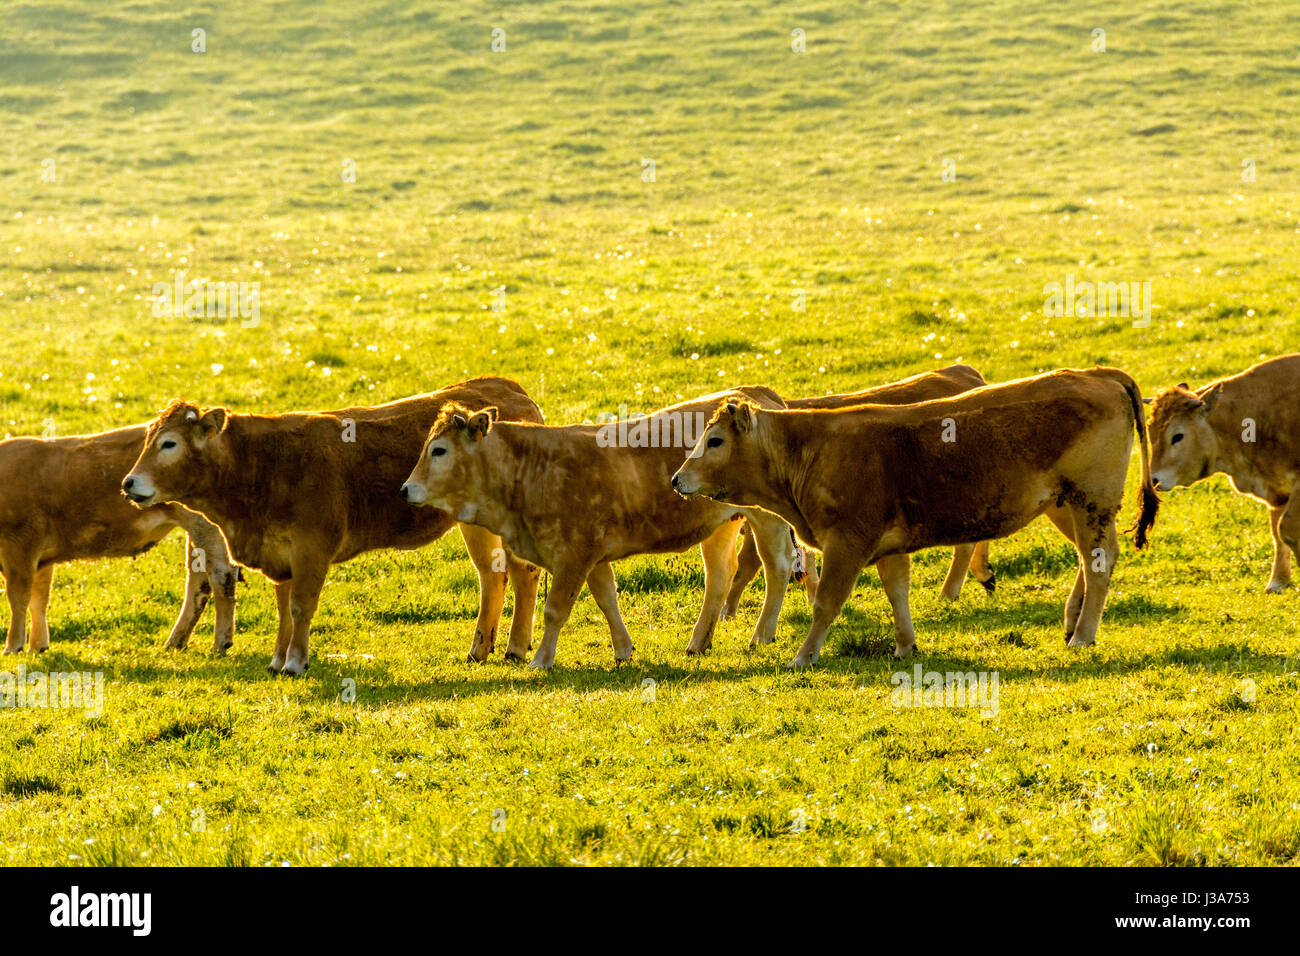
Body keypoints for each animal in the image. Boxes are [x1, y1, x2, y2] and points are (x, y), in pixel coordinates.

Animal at [1, 425, 240, 656]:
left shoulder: (21, 544)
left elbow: (19, 598)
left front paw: (13, 647)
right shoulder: (40, 557)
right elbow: (38, 599)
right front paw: (37, 646)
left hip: (206, 528)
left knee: (221, 576)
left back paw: (219, 644)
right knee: (199, 579)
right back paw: (176, 642)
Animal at [120, 377, 544, 675]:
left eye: (170, 443)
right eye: (148, 439)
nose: (128, 483)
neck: (262, 463)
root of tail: (506, 388)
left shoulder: (312, 547)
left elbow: (300, 606)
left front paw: (295, 662)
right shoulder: (280, 555)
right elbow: (283, 609)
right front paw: (277, 660)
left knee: (524, 572)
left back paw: (515, 648)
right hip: (477, 523)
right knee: (492, 576)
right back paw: (479, 649)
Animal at [398, 388, 806, 669]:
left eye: (438, 450)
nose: (405, 489)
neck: (530, 468)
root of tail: (760, 395)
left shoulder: (574, 553)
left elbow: (556, 609)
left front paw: (541, 659)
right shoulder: (592, 554)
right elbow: (608, 598)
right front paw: (623, 649)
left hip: (766, 517)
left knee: (777, 568)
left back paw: (762, 634)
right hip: (722, 524)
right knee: (720, 577)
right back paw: (698, 642)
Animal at [1146, 354, 1300, 593]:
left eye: (1177, 436)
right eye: (1149, 431)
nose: (1154, 480)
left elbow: (1287, 528)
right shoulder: (1276, 492)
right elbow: (1278, 534)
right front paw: (1278, 581)